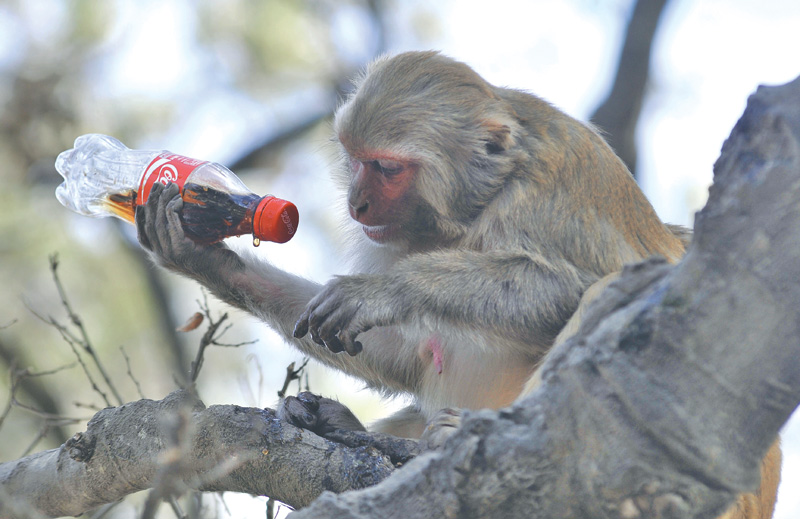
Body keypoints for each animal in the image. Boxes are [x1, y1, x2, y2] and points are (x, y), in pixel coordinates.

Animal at [136, 51, 780, 519]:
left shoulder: (544, 200)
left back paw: (436, 442)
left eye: (387, 167)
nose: (356, 203)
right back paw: (354, 431)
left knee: (608, 294)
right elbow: (402, 352)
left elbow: (584, 284)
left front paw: (387, 291)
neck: (482, 201)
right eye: (354, 158)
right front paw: (209, 258)